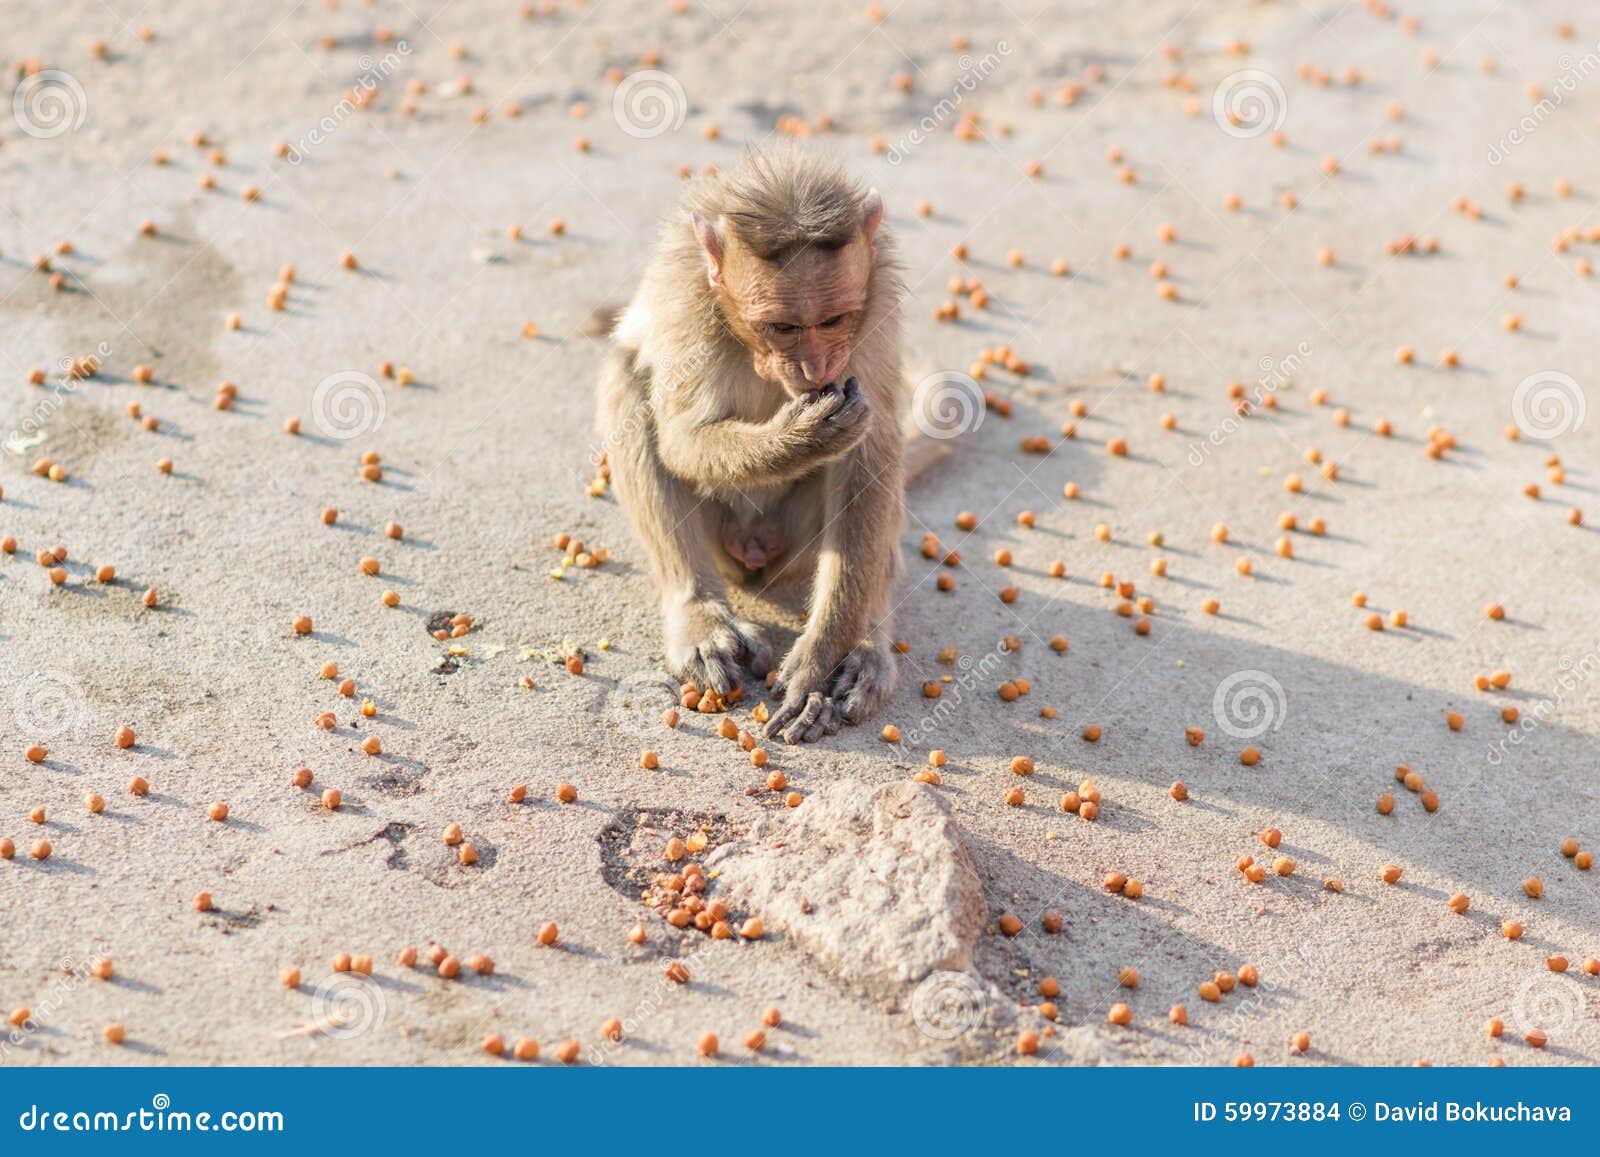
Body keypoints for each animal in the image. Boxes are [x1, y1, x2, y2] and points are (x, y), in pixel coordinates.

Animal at [597, 146, 912, 745]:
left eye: (834, 319)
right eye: (782, 327)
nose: (816, 370)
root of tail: (756, 548)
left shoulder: (877, 311)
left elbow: (870, 454)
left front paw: (820, 658)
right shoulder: (688, 306)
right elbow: (678, 438)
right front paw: (798, 438)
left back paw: (865, 643)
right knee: (627, 379)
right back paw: (699, 616)